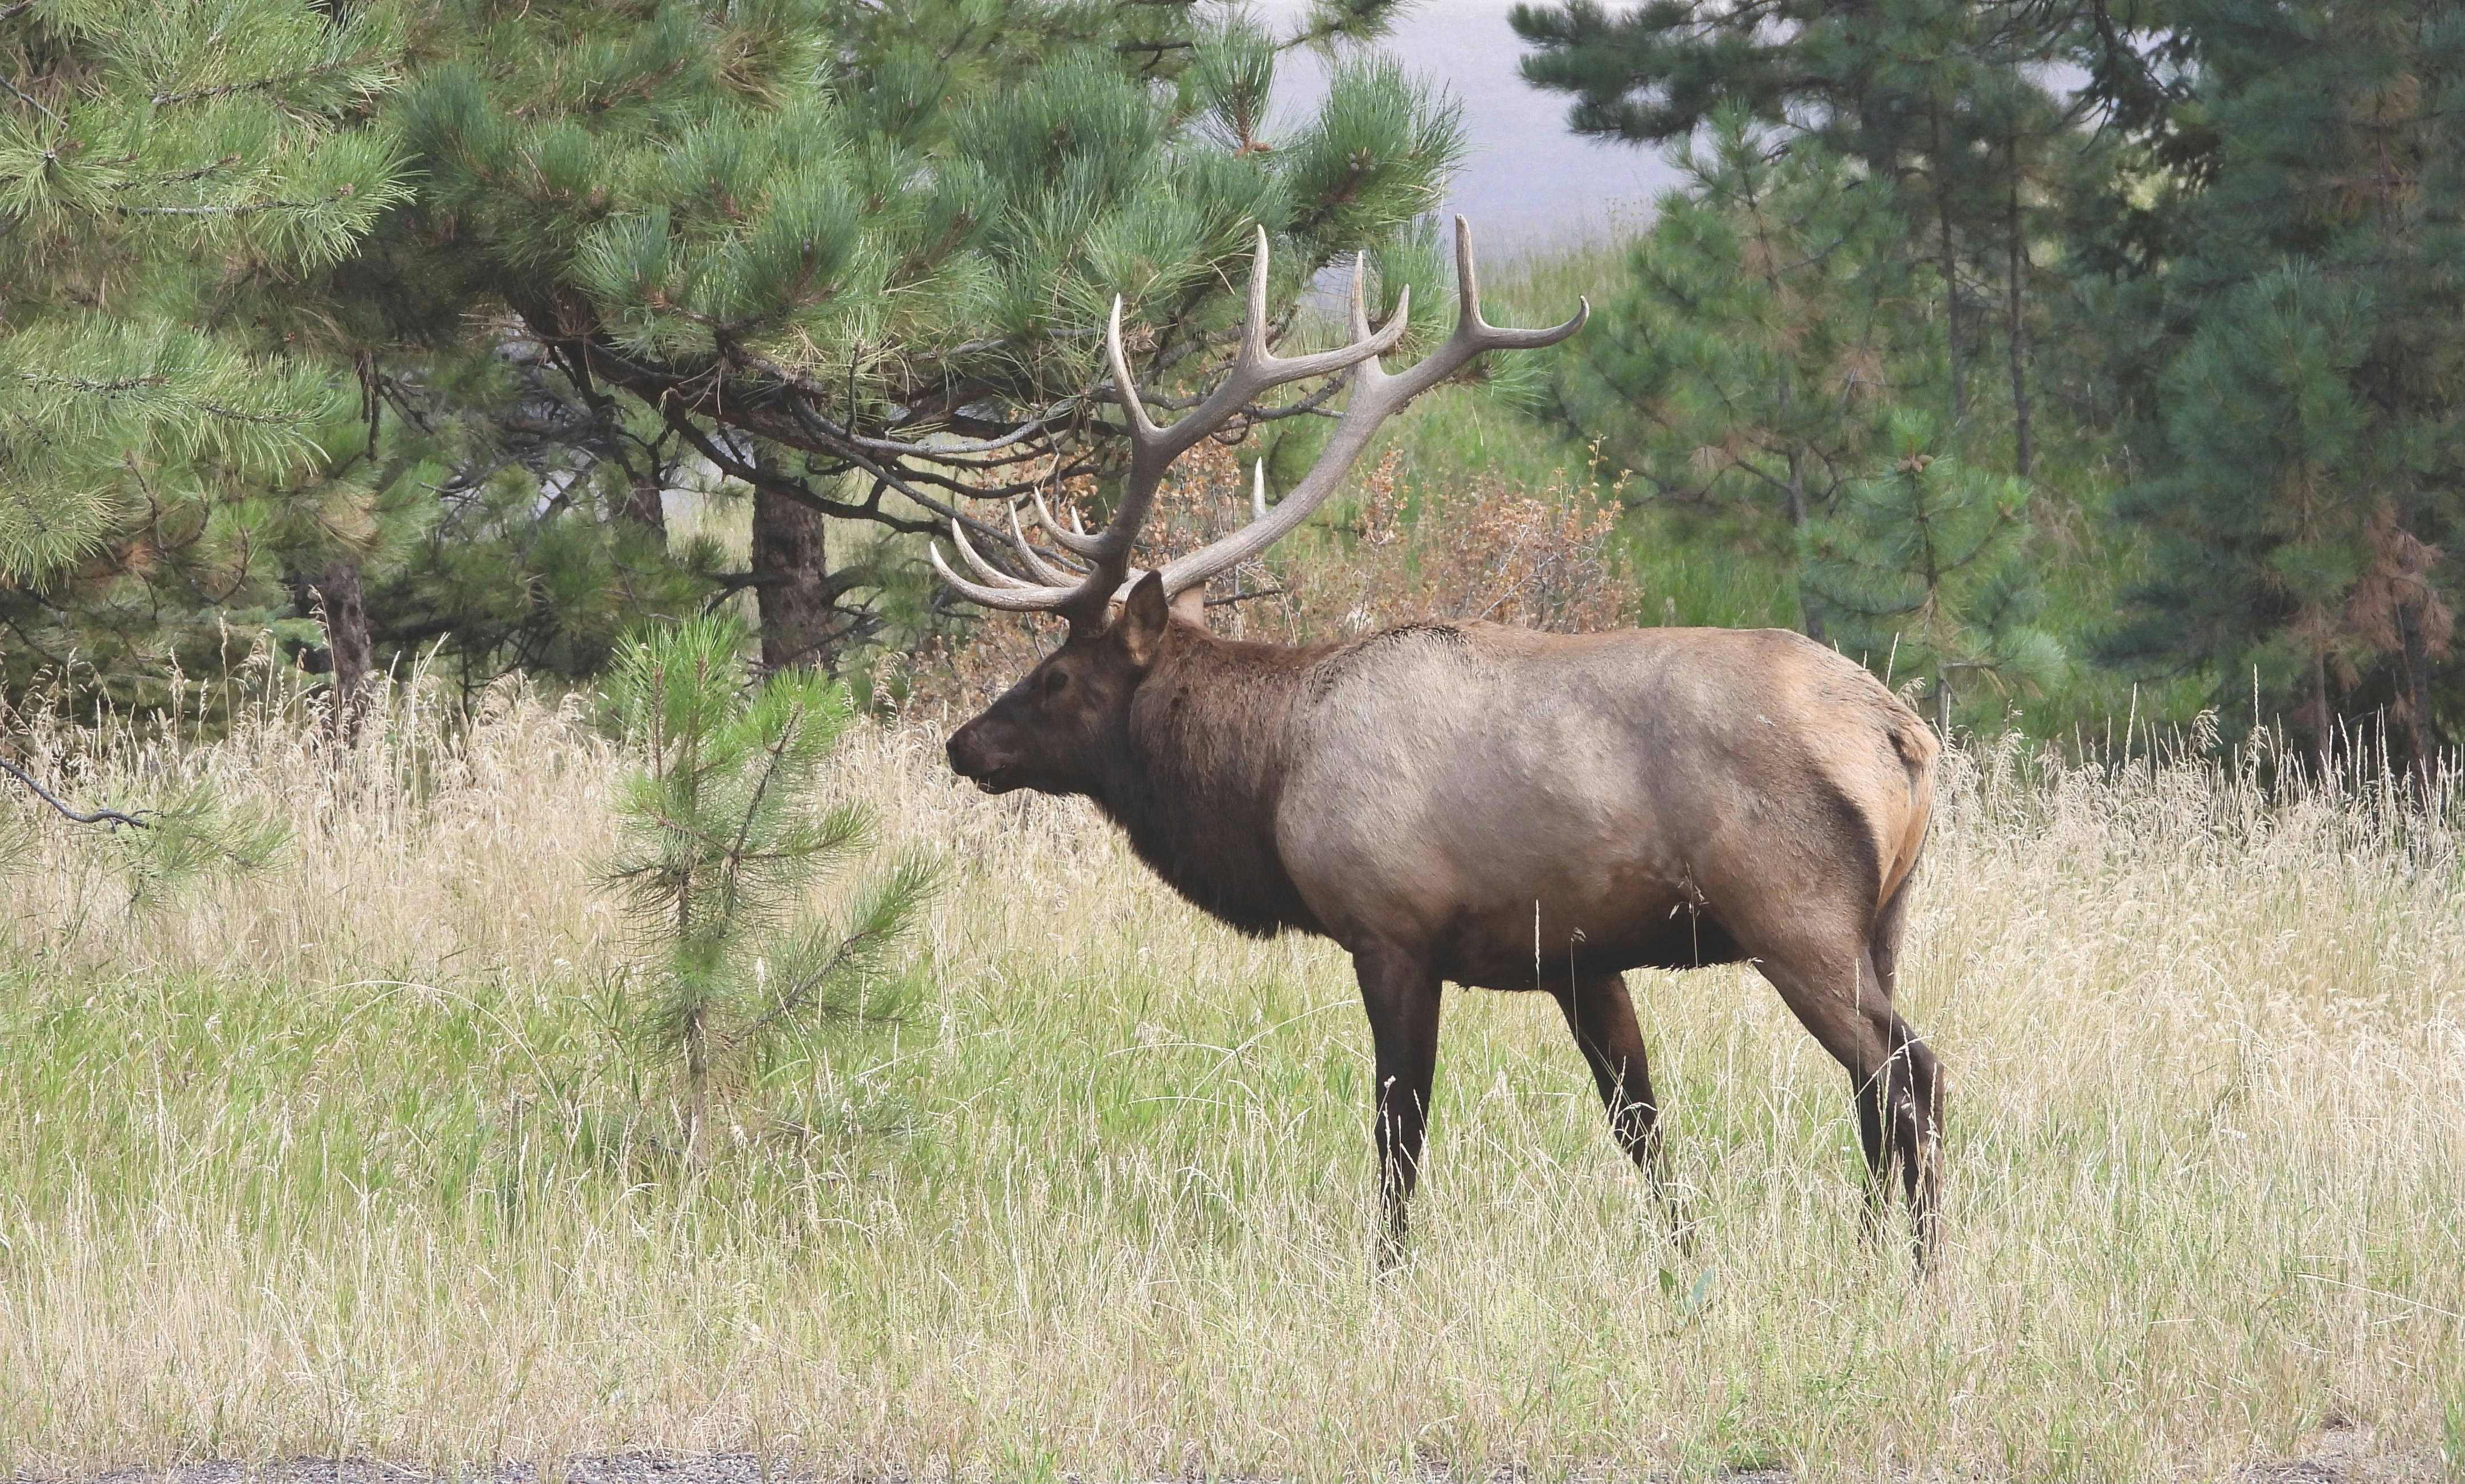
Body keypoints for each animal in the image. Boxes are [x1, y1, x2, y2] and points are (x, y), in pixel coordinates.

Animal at [933, 219, 1945, 1265]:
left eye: (1056, 677)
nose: (965, 745)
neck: (1270, 778)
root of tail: (1900, 735)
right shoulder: (1577, 957)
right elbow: (1638, 1121)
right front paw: (1682, 1258)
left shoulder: (1390, 928)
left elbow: (1400, 1124)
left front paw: (1385, 1267)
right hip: (1884, 919)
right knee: (1874, 1086)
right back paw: (1872, 1247)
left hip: (1793, 913)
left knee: (1907, 1067)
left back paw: (1914, 1266)